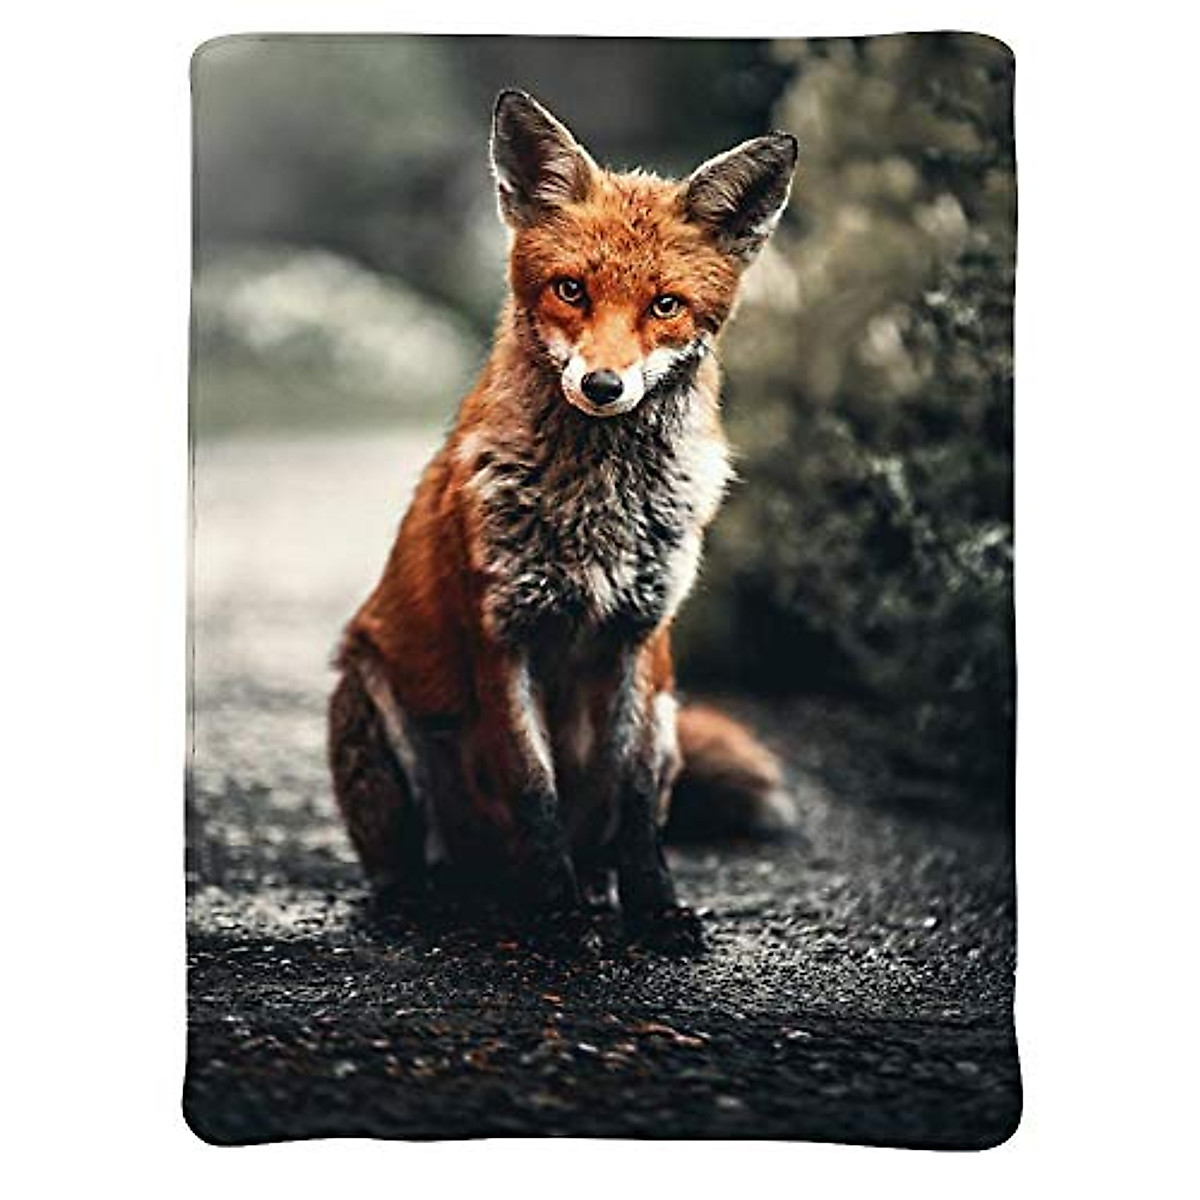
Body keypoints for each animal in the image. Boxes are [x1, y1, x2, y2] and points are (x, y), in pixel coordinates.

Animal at [328, 90, 799, 948]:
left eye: (665, 305)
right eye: (572, 290)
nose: (604, 386)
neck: (597, 508)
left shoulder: (640, 639)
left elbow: (636, 804)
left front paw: (654, 908)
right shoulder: (501, 635)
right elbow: (533, 790)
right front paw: (555, 916)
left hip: (672, 713)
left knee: (605, 837)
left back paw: (595, 886)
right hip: (370, 697)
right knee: (413, 864)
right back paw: (436, 898)